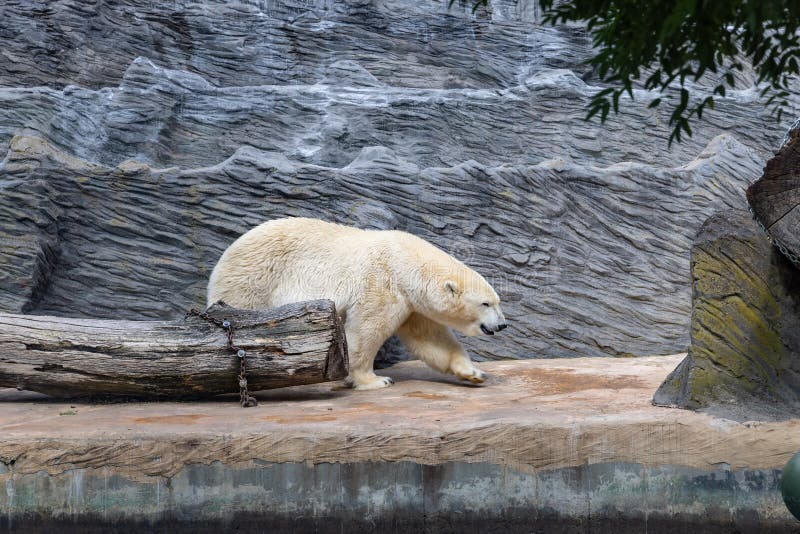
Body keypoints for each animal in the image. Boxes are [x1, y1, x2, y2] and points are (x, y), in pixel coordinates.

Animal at [206, 217, 508, 390]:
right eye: (485, 304)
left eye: (497, 301)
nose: (503, 325)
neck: (404, 262)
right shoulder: (381, 284)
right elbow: (365, 332)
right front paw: (374, 380)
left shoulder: (410, 304)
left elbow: (430, 338)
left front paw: (473, 373)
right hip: (253, 281)